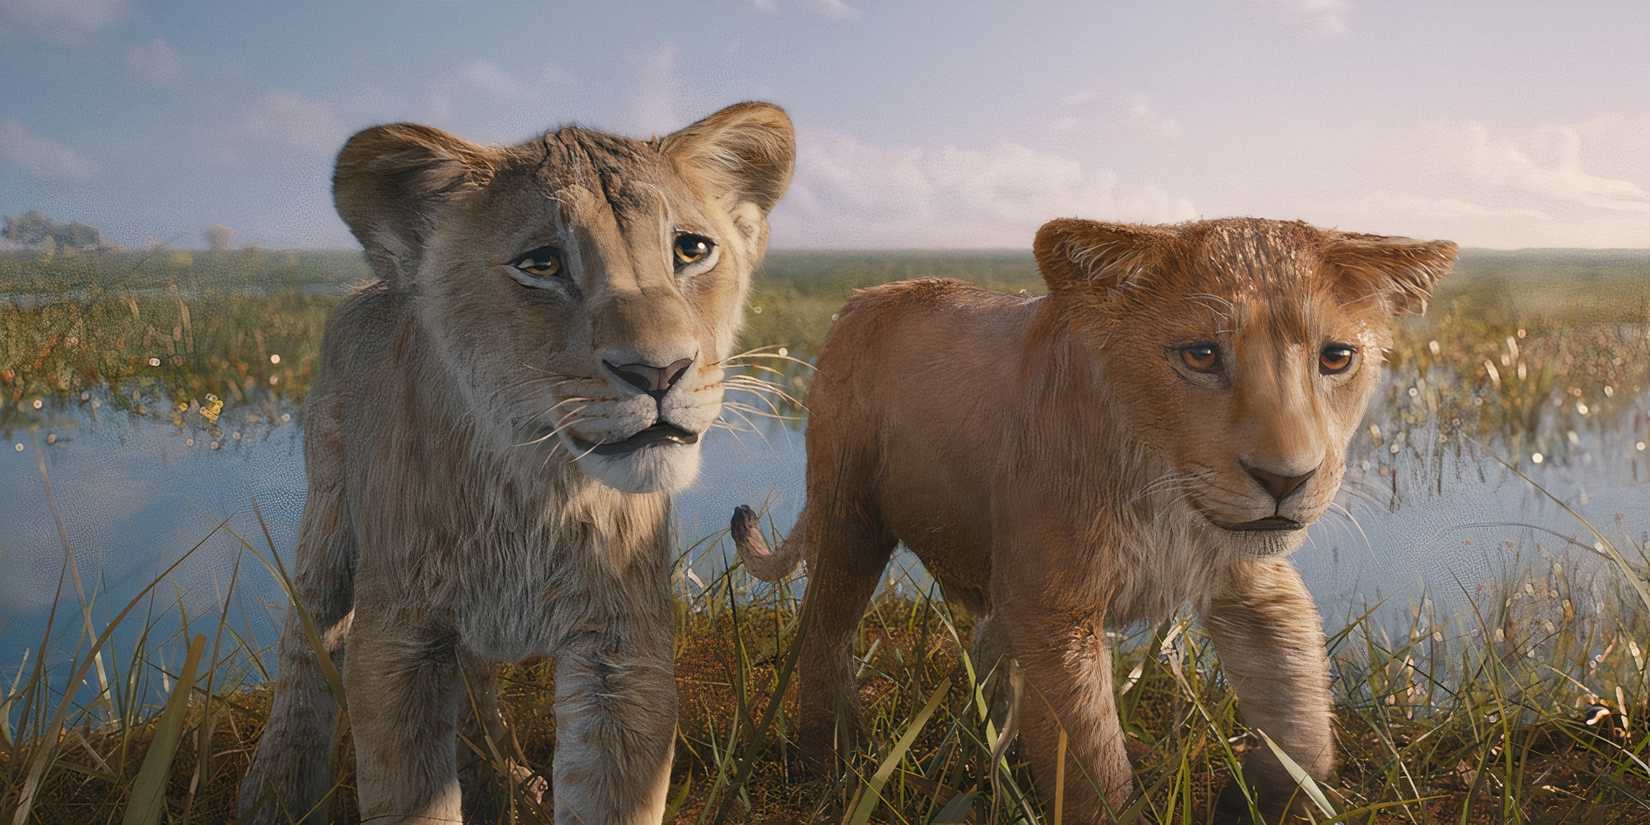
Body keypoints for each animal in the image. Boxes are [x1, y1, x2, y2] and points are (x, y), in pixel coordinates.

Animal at [238, 102, 794, 825]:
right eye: (542, 263)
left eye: (691, 249)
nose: (659, 371)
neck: (536, 486)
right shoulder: (398, 641)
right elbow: (409, 793)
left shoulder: (622, 651)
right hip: (328, 515)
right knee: (307, 643)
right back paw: (272, 794)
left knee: (474, 680)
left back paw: (502, 779)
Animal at [732, 217, 1456, 823]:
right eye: (1199, 355)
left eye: (1337, 357)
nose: (1286, 480)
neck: (1165, 493)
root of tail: (866, 295)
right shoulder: (1057, 609)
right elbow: (1092, 762)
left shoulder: (1253, 585)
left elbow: (1303, 720)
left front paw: (1264, 801)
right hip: (849, 514)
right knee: (826, 631)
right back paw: (829, 765)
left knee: (991, 654)